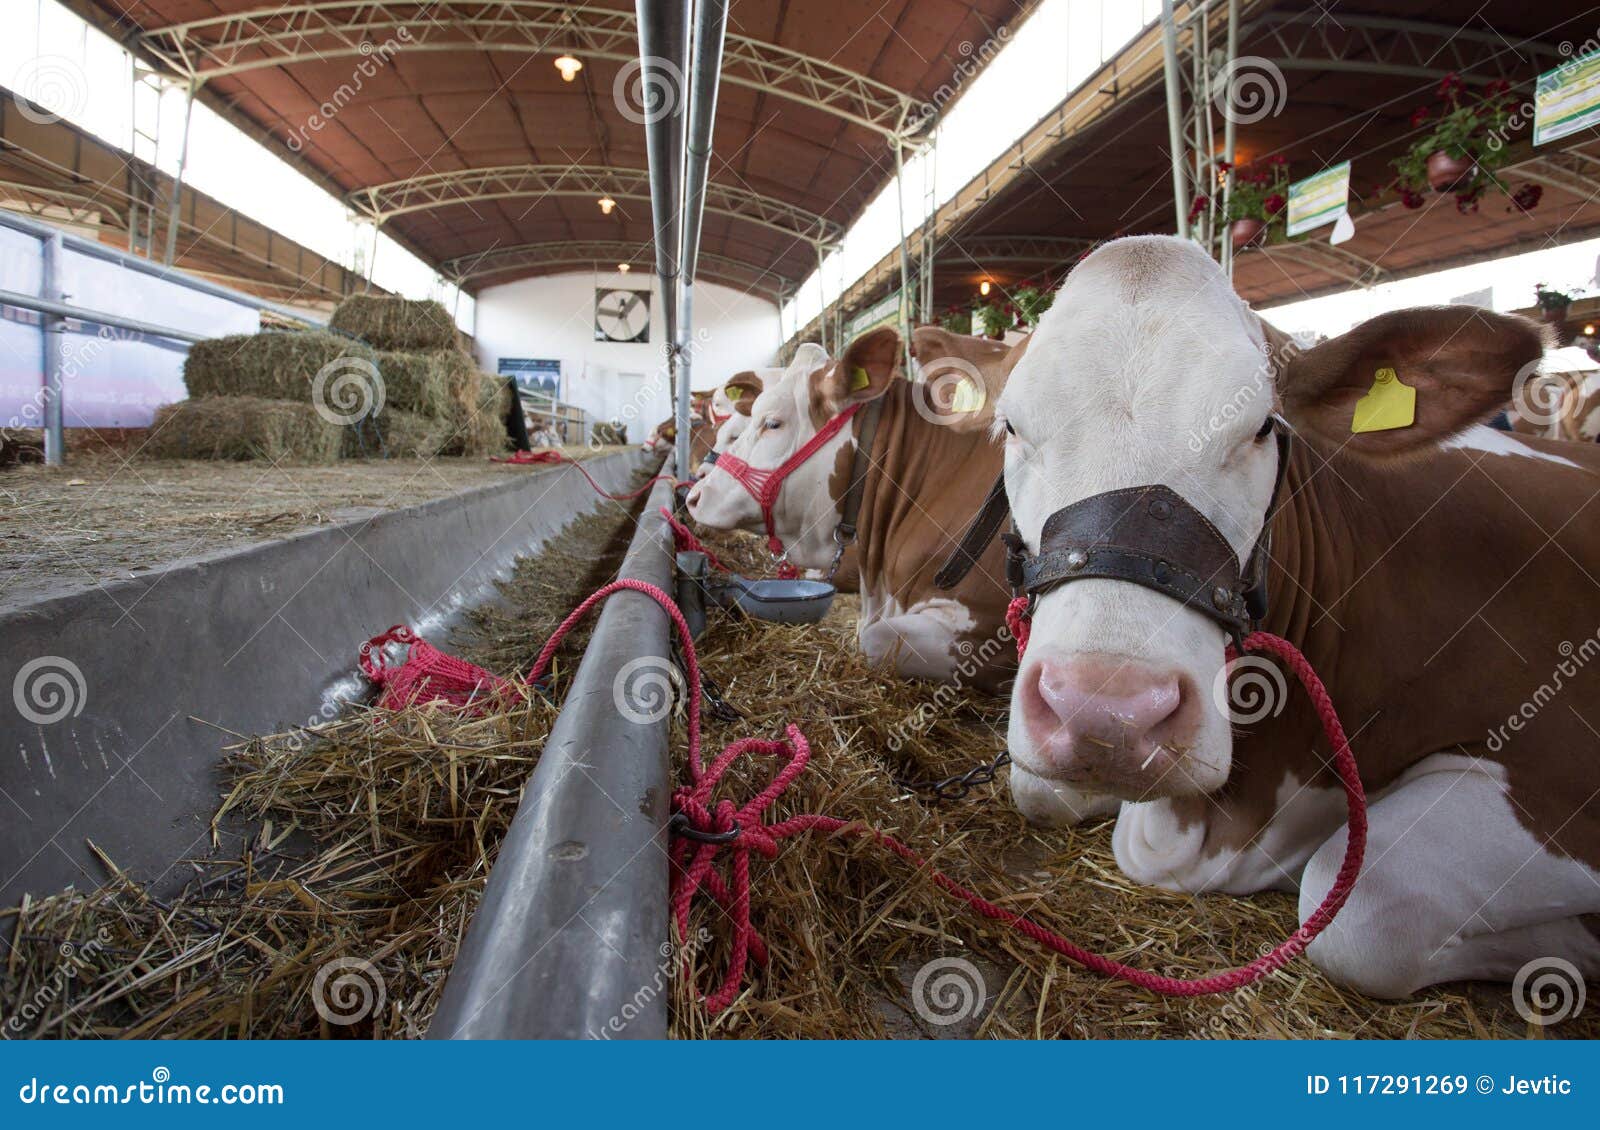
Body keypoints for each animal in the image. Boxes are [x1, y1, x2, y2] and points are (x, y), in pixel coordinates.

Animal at [956, 234, 1600, 997]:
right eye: (1010, 425)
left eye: (1262, 426)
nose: (1108, 714)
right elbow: (1038, 790)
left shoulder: (1562, 771)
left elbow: (1365, 915)